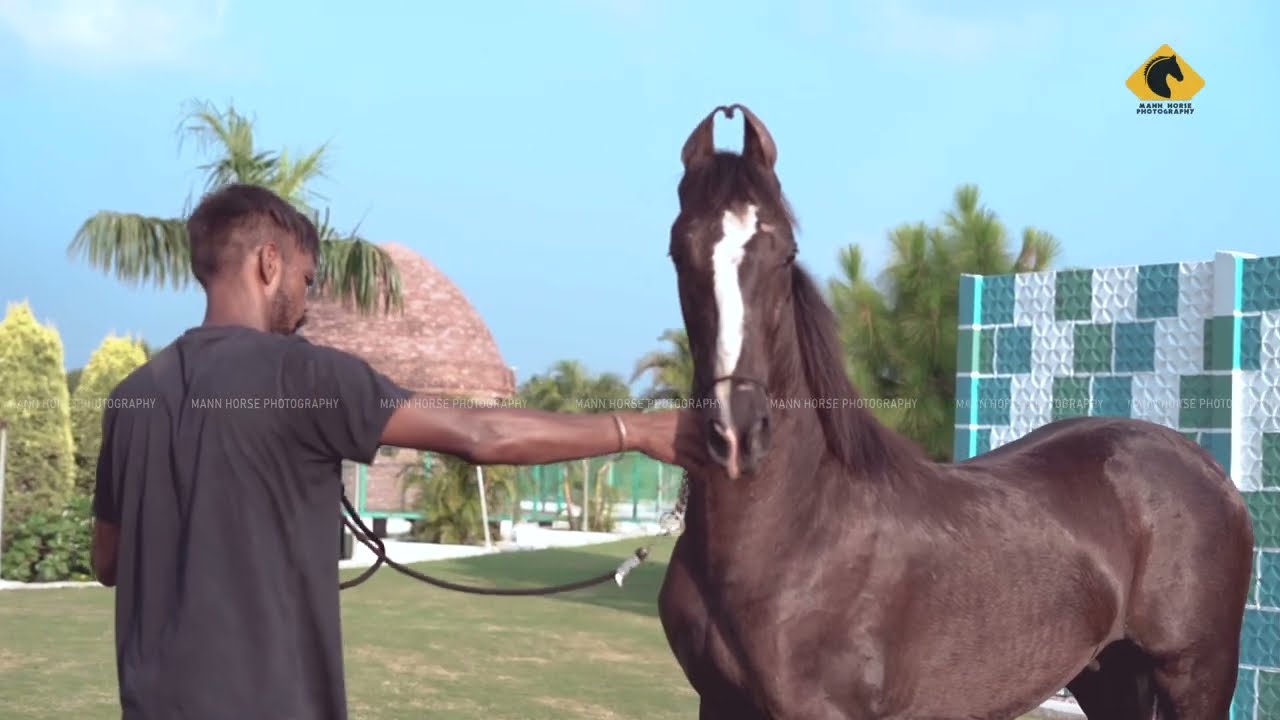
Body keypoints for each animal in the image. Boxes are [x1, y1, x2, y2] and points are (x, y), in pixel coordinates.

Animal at [655, 104, 1254, 719]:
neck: (796, 528)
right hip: (1108, 674)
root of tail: (1207, 468)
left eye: (786, 254)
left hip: (1196, 676)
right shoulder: (718, 702)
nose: (738, 433)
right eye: (680, 252)